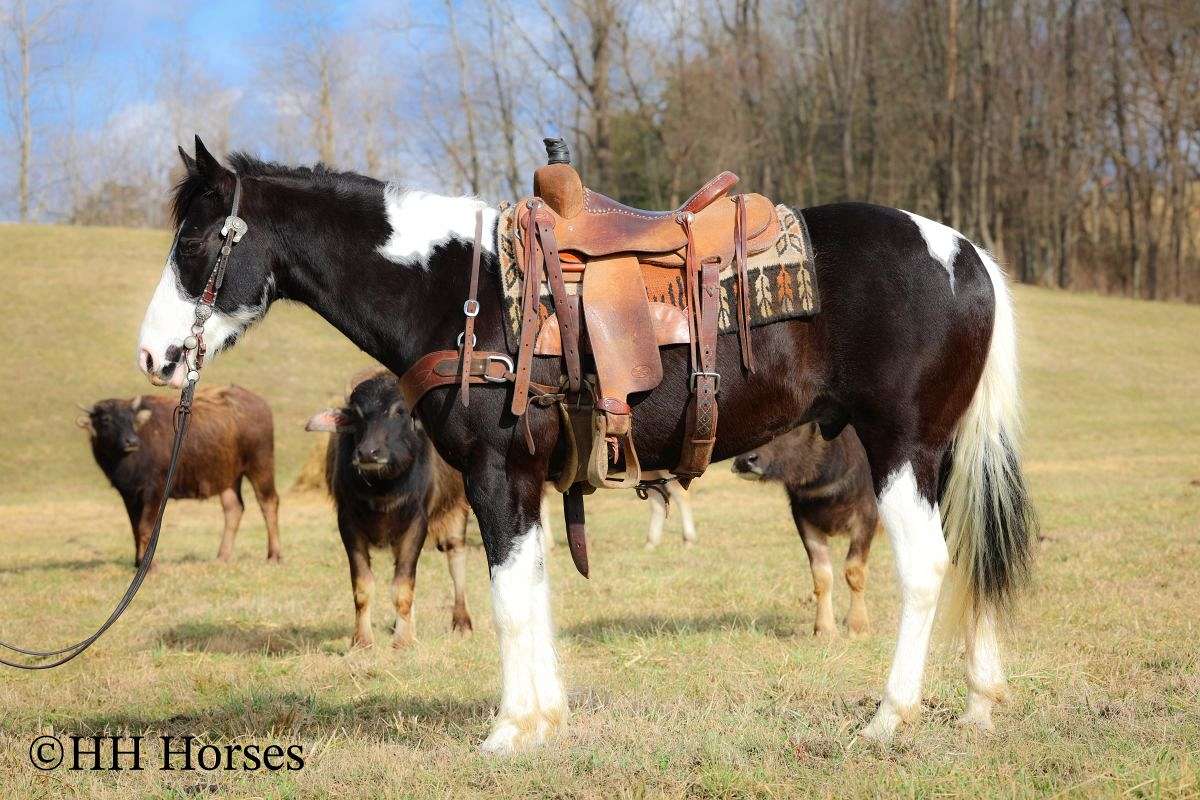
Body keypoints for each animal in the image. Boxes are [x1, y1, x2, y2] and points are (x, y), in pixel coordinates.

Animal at [135, 137, 1035, 753]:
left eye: (193, 245)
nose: (154, 357)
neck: (461, 292)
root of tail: (964, 252)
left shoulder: (497, 474)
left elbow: (507, 599)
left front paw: (508, 730)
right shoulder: (528, 482)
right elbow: (532, 590)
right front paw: (545, 719)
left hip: (902, 450)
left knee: (926, 568)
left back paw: (890, 716)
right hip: (940, 457)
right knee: (969, 557)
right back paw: (981, 704)